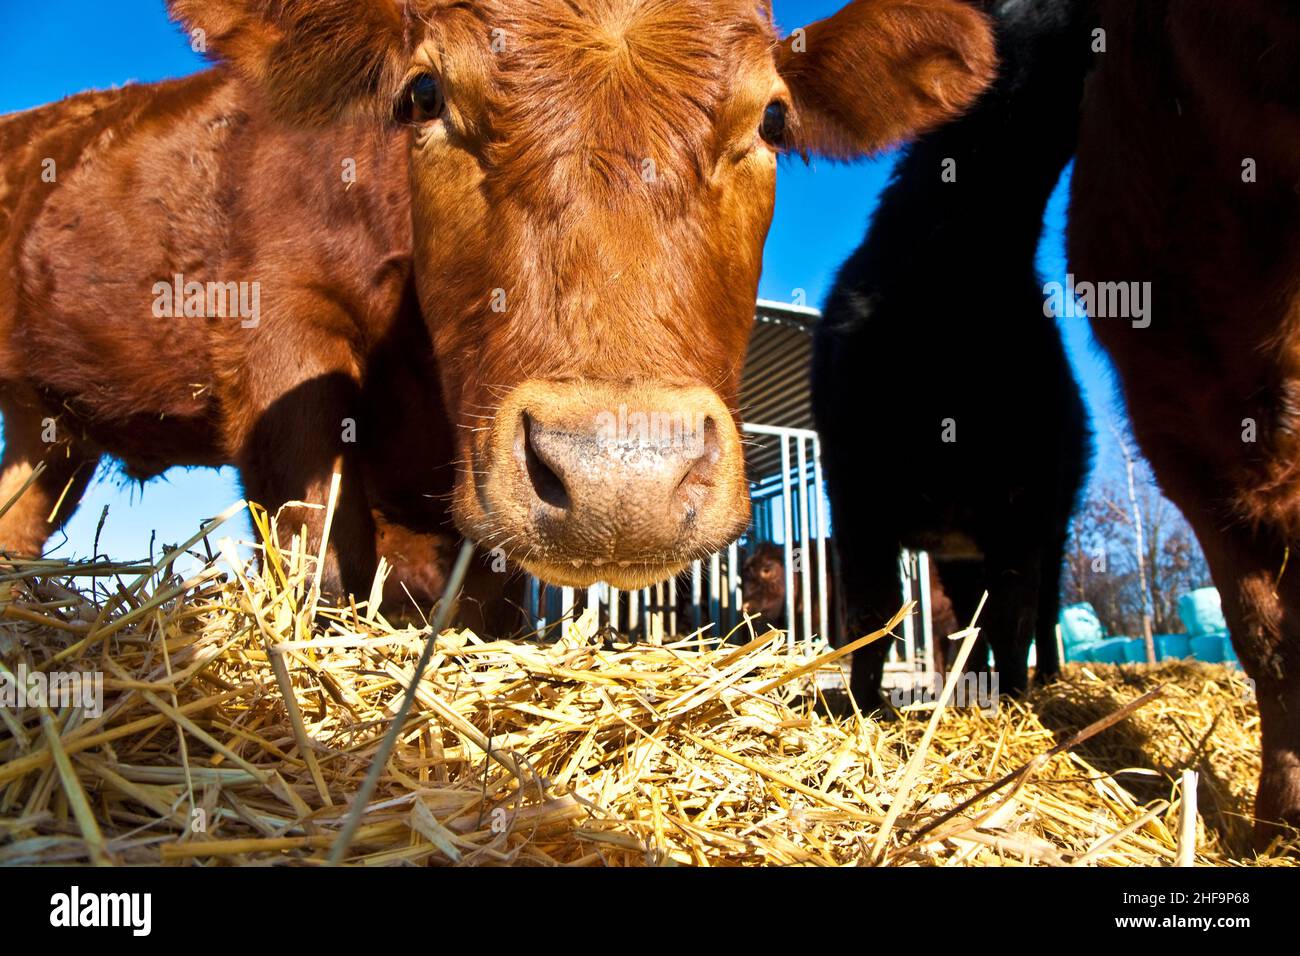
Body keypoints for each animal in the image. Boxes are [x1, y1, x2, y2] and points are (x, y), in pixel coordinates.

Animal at [0, 0, 999, 618]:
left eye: (773, 120)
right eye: (425, 93)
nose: (620, 481)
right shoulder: (281, 340)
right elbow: (325, 559)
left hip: (49, 433)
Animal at [812, 0, 1093, 706]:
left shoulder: (1023, 496)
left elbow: (1015, 612)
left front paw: (1018, 700)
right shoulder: (855, 488)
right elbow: (872, 611)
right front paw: (865, 705)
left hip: (1047, 515)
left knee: (1038, 608)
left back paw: (1040, 681)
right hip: (954, 543)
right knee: (974, 613)